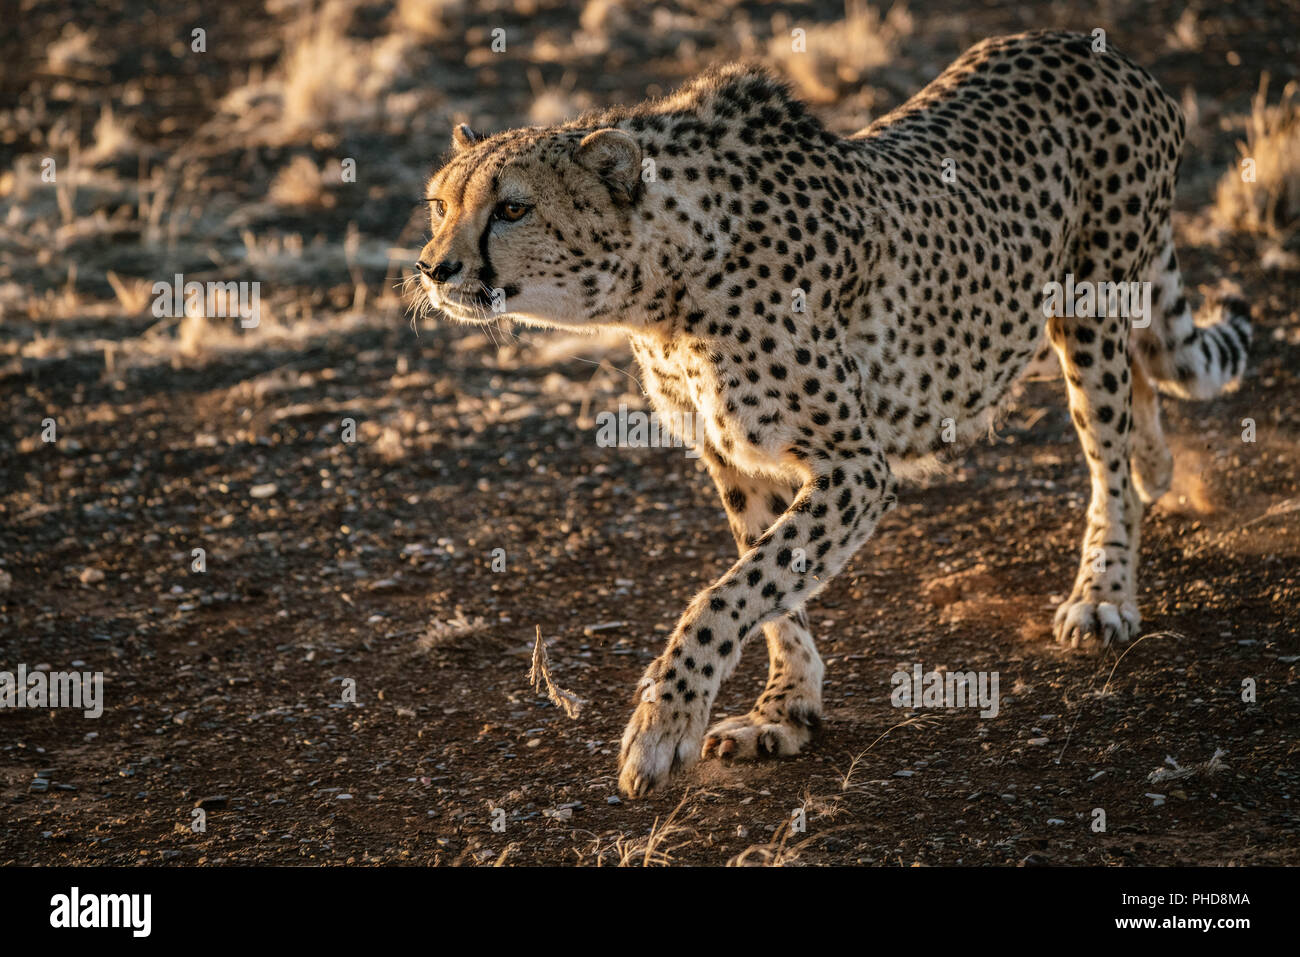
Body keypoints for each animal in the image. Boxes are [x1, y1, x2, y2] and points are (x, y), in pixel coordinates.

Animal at [413, 30, 1252, 799]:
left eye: (512, 208)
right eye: (439, 205)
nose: (431, 268)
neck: (662, 283)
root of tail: (1099, 48)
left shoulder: (856, 466)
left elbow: (727, 593)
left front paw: (663, 722)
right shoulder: (735, 455)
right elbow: (768, 589)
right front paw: (784, 708)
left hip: (1083, 306)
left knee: (1105, 441)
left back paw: (1105, 587)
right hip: (1022, 324)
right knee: (1138, 369)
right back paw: (1155, 465)